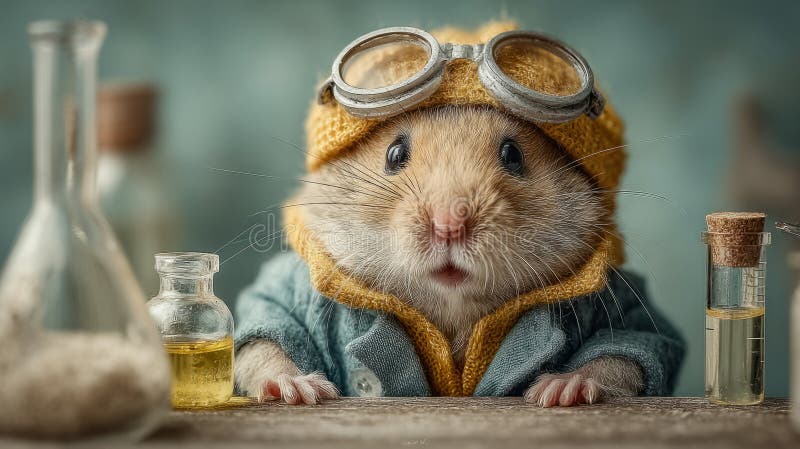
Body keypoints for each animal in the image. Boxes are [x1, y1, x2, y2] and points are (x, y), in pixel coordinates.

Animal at [235, 105, 644, 406]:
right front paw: (301, 389)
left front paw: (560, 389)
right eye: (394, 153)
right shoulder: (280, 295)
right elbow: (265, 332)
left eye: (513, 154)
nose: (449, 225)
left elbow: (621, 348)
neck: (450, 308)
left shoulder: (623, 309)